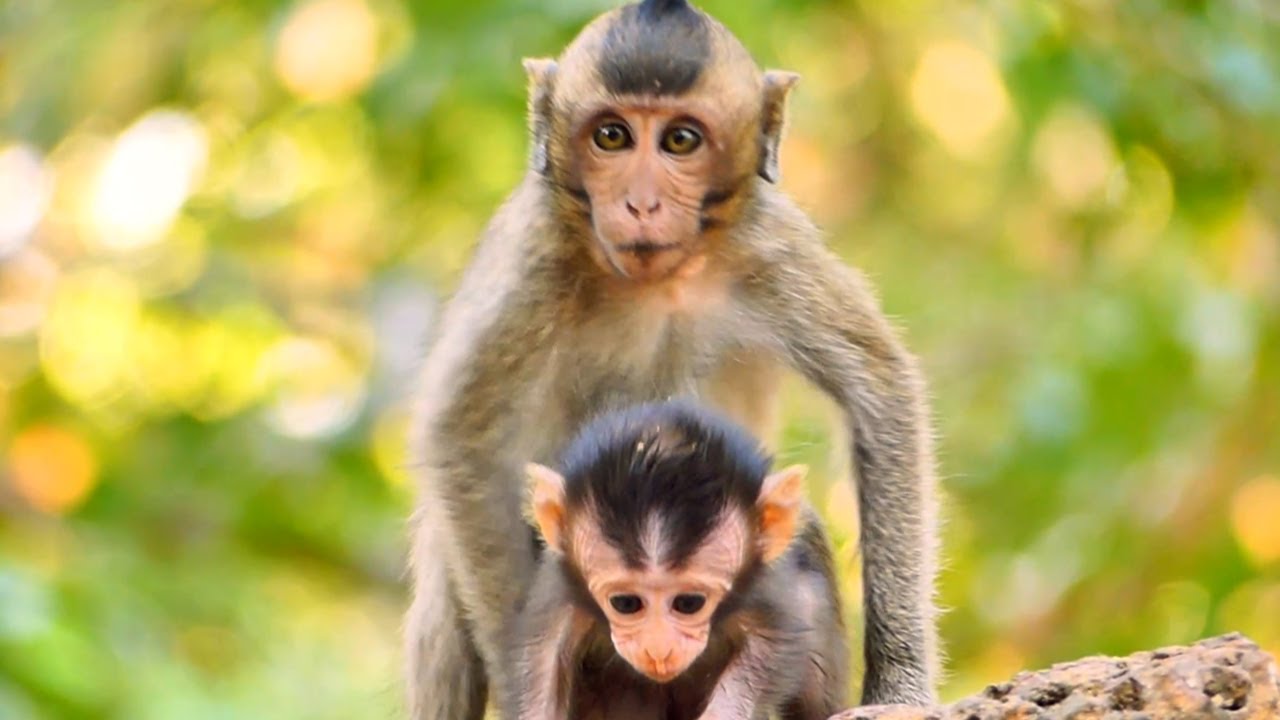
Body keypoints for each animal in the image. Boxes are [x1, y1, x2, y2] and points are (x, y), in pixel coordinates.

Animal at [508, 401, 848, 720]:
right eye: (625, 603)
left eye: (689, 603)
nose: (658, 651)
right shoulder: (562, 592)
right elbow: (544, 659)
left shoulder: (768, 584)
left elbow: (779, 637)